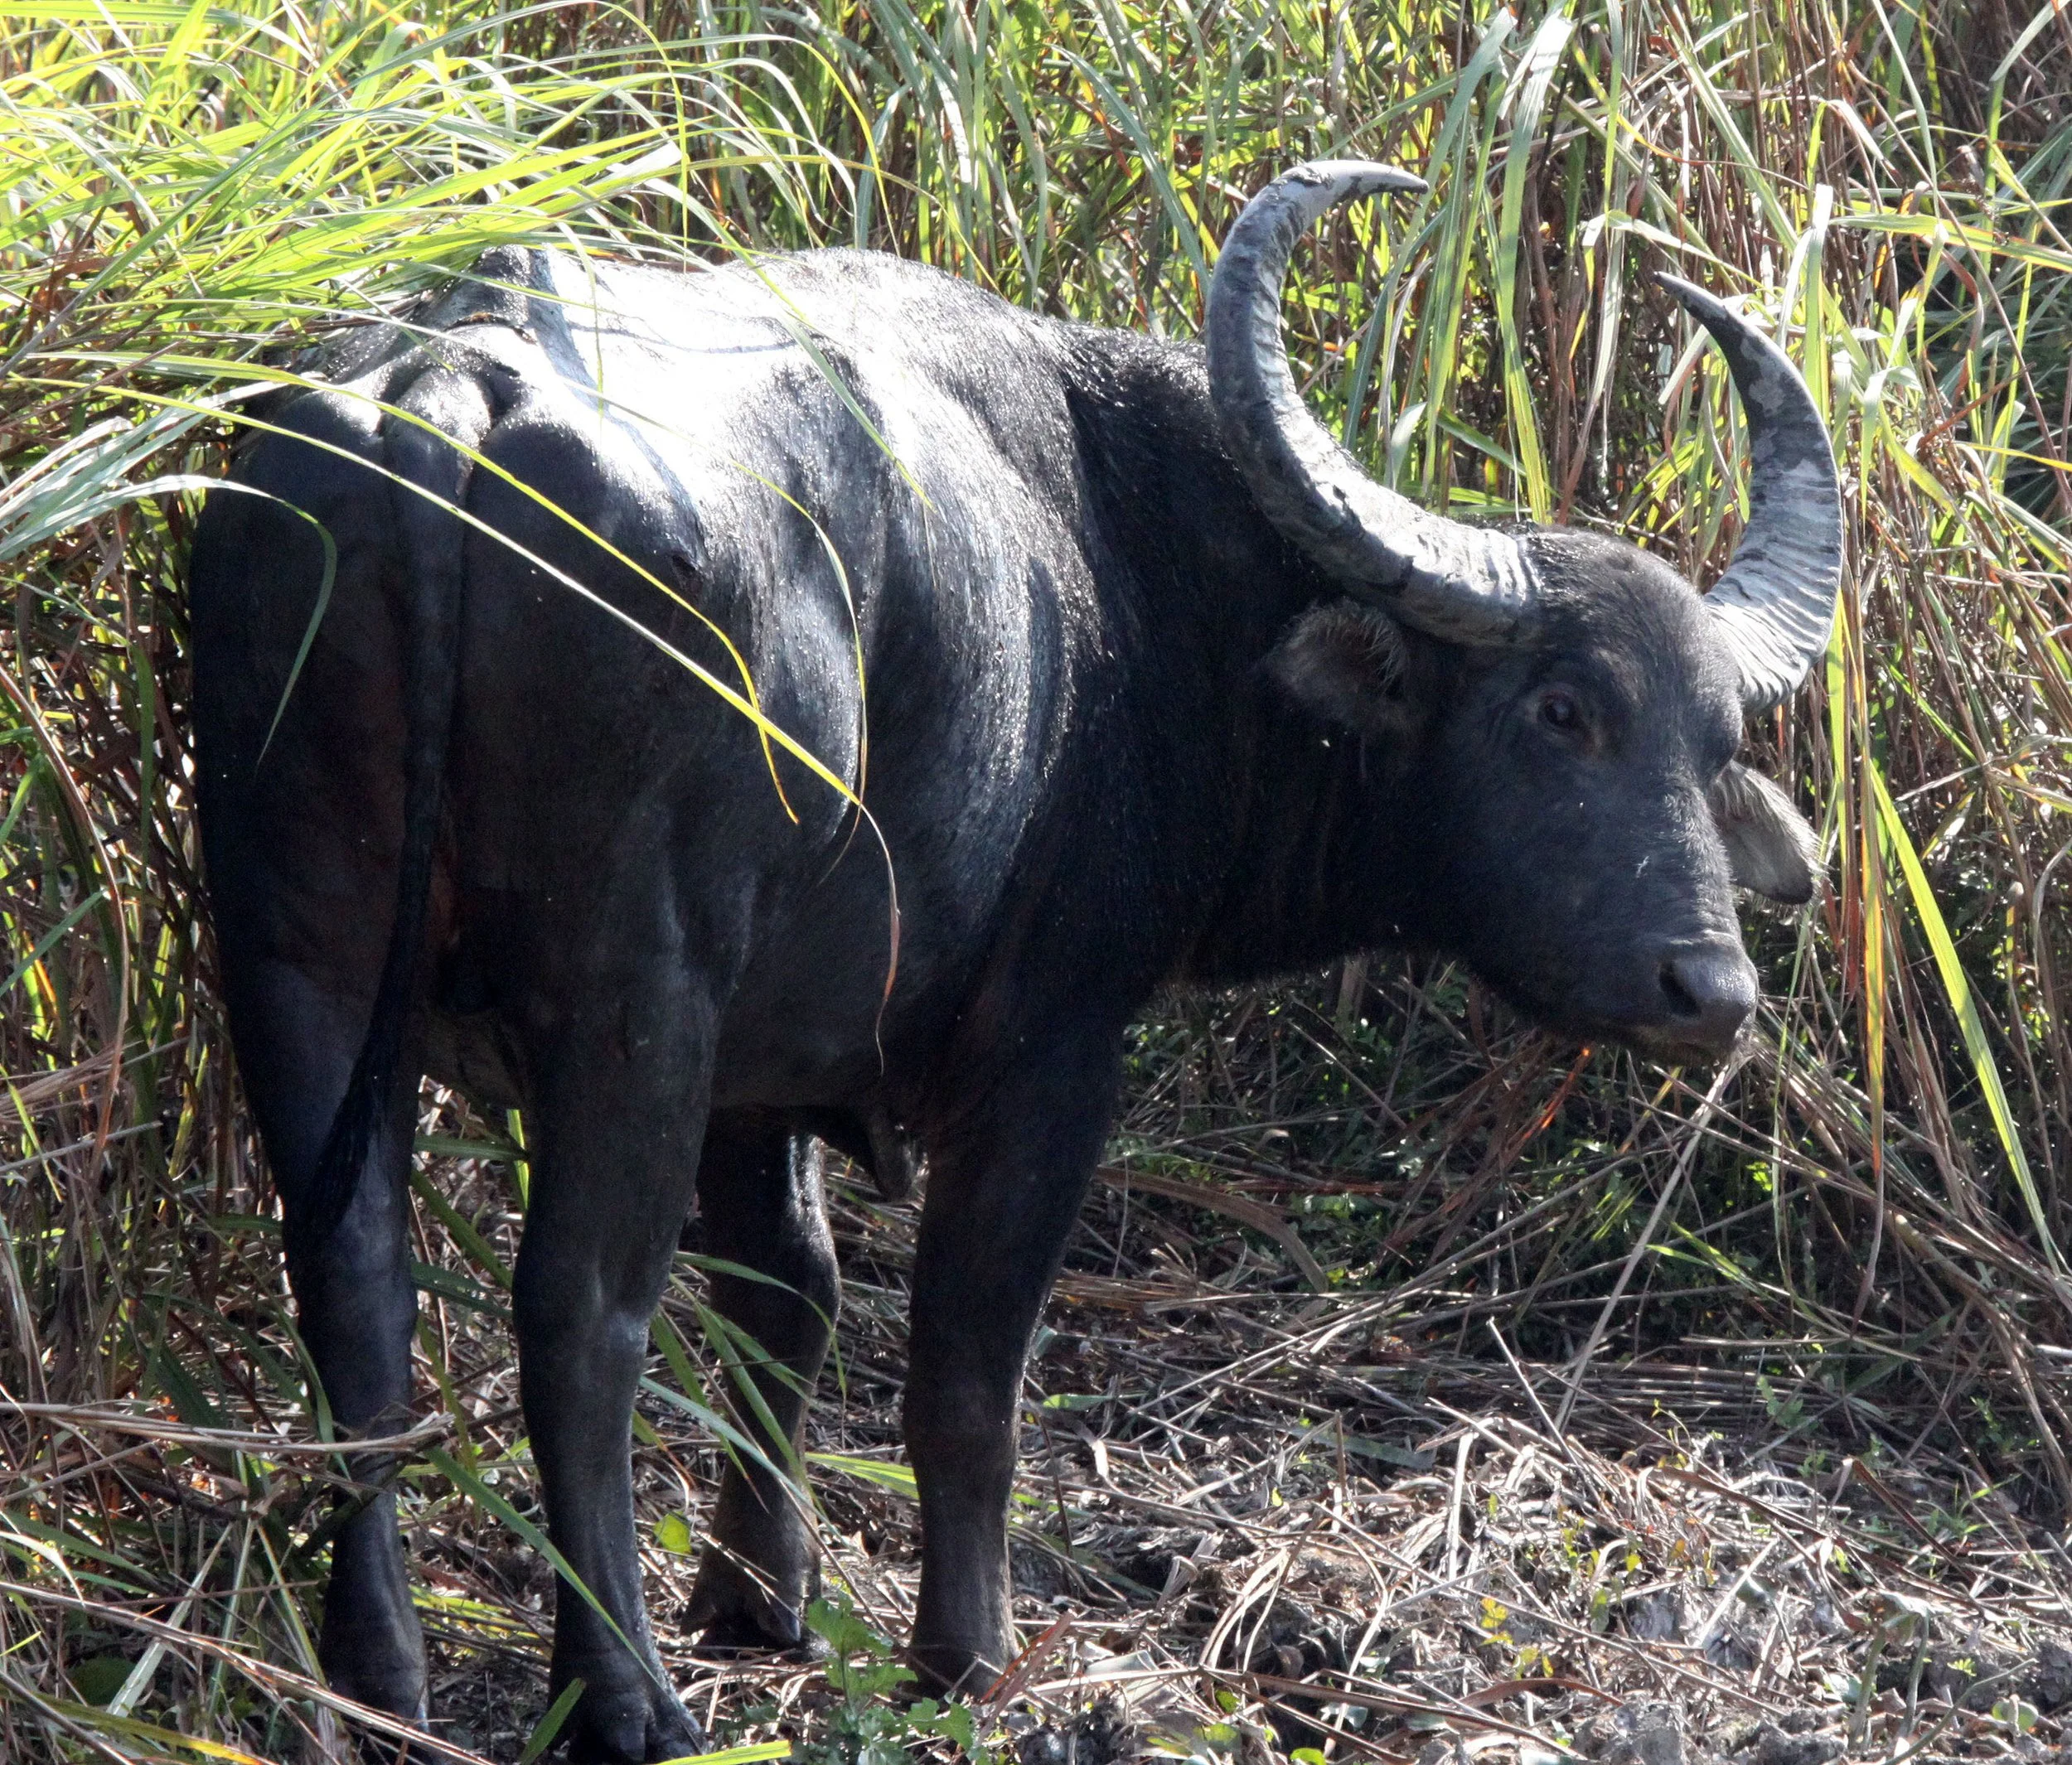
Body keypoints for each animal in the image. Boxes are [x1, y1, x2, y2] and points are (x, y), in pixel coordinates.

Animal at [189, 160, 1839, 1758]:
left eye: (1717, 744)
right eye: (1563, 710)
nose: (1711, 993)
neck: (1132, 565)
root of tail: (453, 386)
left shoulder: (764, 1065)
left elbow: (788, 1297)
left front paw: (761, 1597)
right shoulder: (1046, 1051)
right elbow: (969, 1365)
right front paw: (963, 1652)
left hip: (294, 948)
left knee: (353, 1283)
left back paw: (374, 1673)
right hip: (630, 991)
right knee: (584, 1313)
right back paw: (626, 1700)